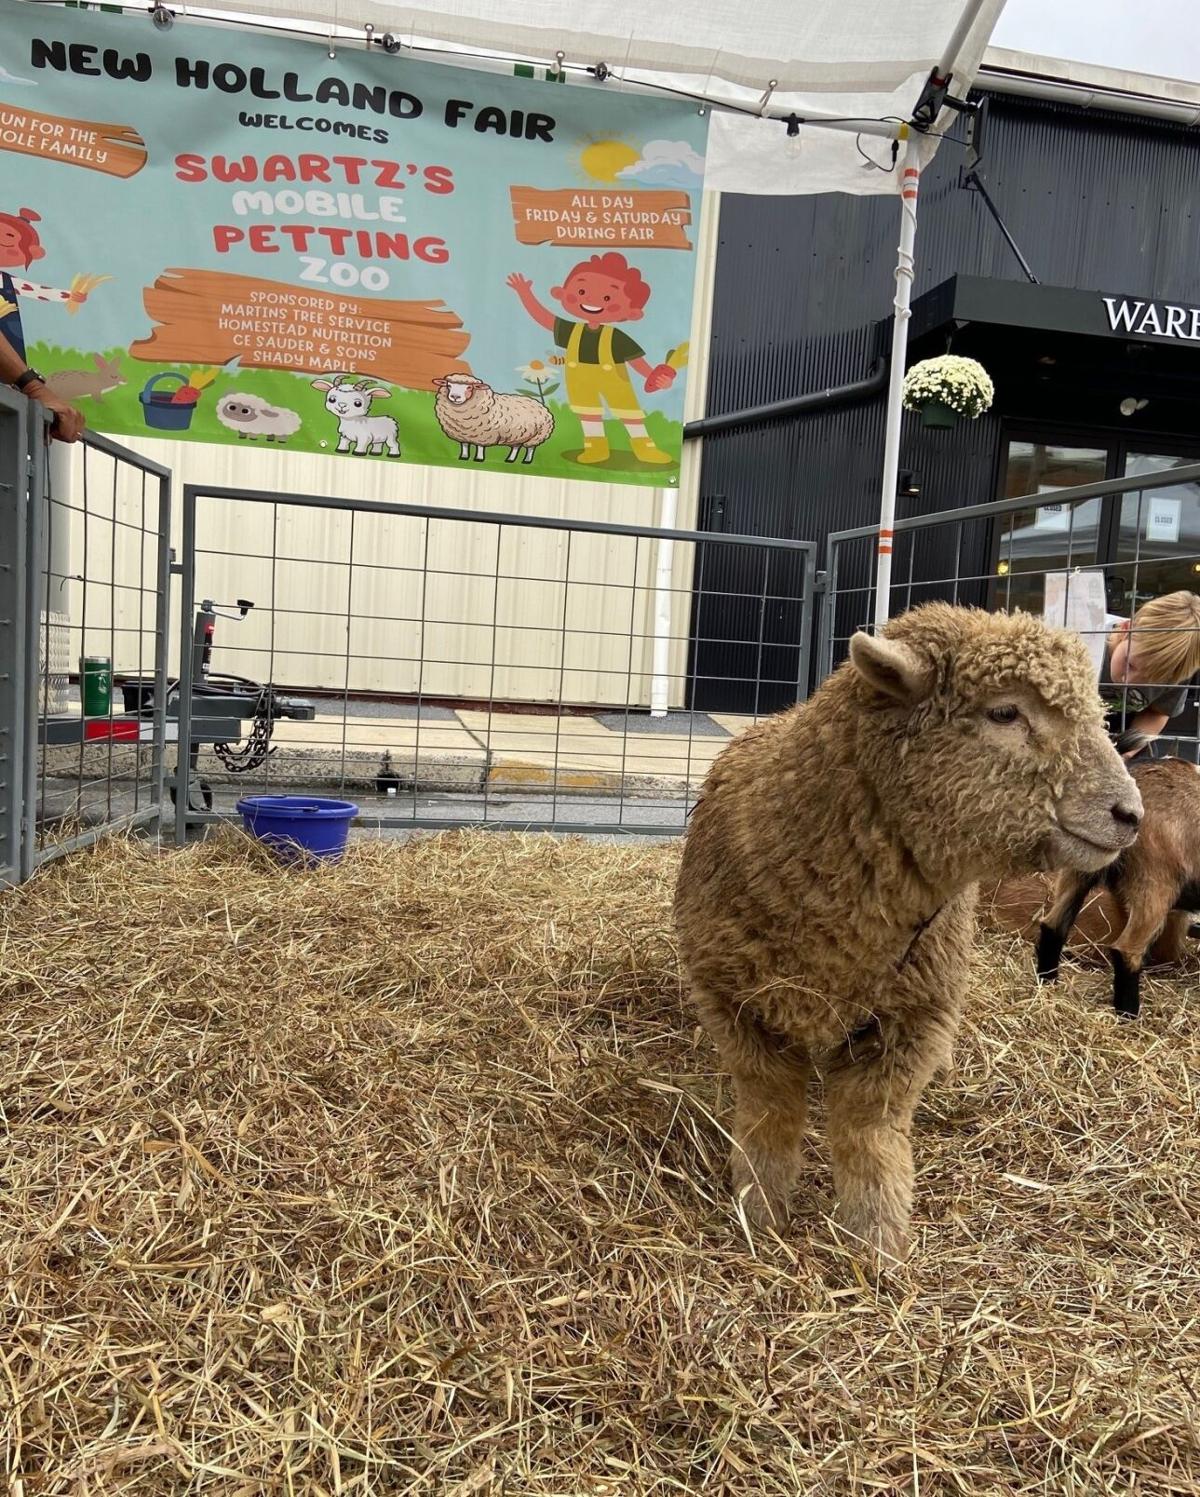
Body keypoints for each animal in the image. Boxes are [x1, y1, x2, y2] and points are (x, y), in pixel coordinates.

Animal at [674, 602, 1143, 1271]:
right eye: (1005, 712)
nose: (1131, 815)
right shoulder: (737, 1005)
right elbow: (770, 1112)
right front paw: (758, 1214)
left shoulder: (913, 1020)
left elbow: (870, 1133)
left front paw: (878, 1247)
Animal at [1036, 753, 1200, 1017]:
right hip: (1154, 883)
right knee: (1126, 950)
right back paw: (1129, 1014)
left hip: (1079, 872)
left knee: (1053, 925)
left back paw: (1047, 981)